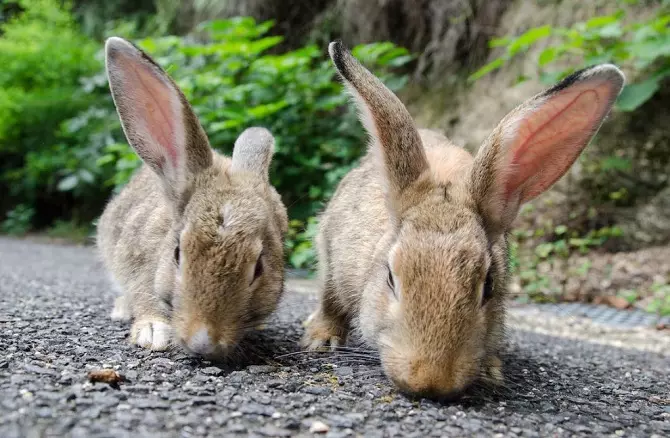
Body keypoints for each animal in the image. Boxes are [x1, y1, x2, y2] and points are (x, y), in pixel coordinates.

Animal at [302, 42, 628, 400]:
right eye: (390, 277)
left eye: (489, 286)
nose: (430, 381)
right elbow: (330, 301)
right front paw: (321, 340)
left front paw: (491, 372)